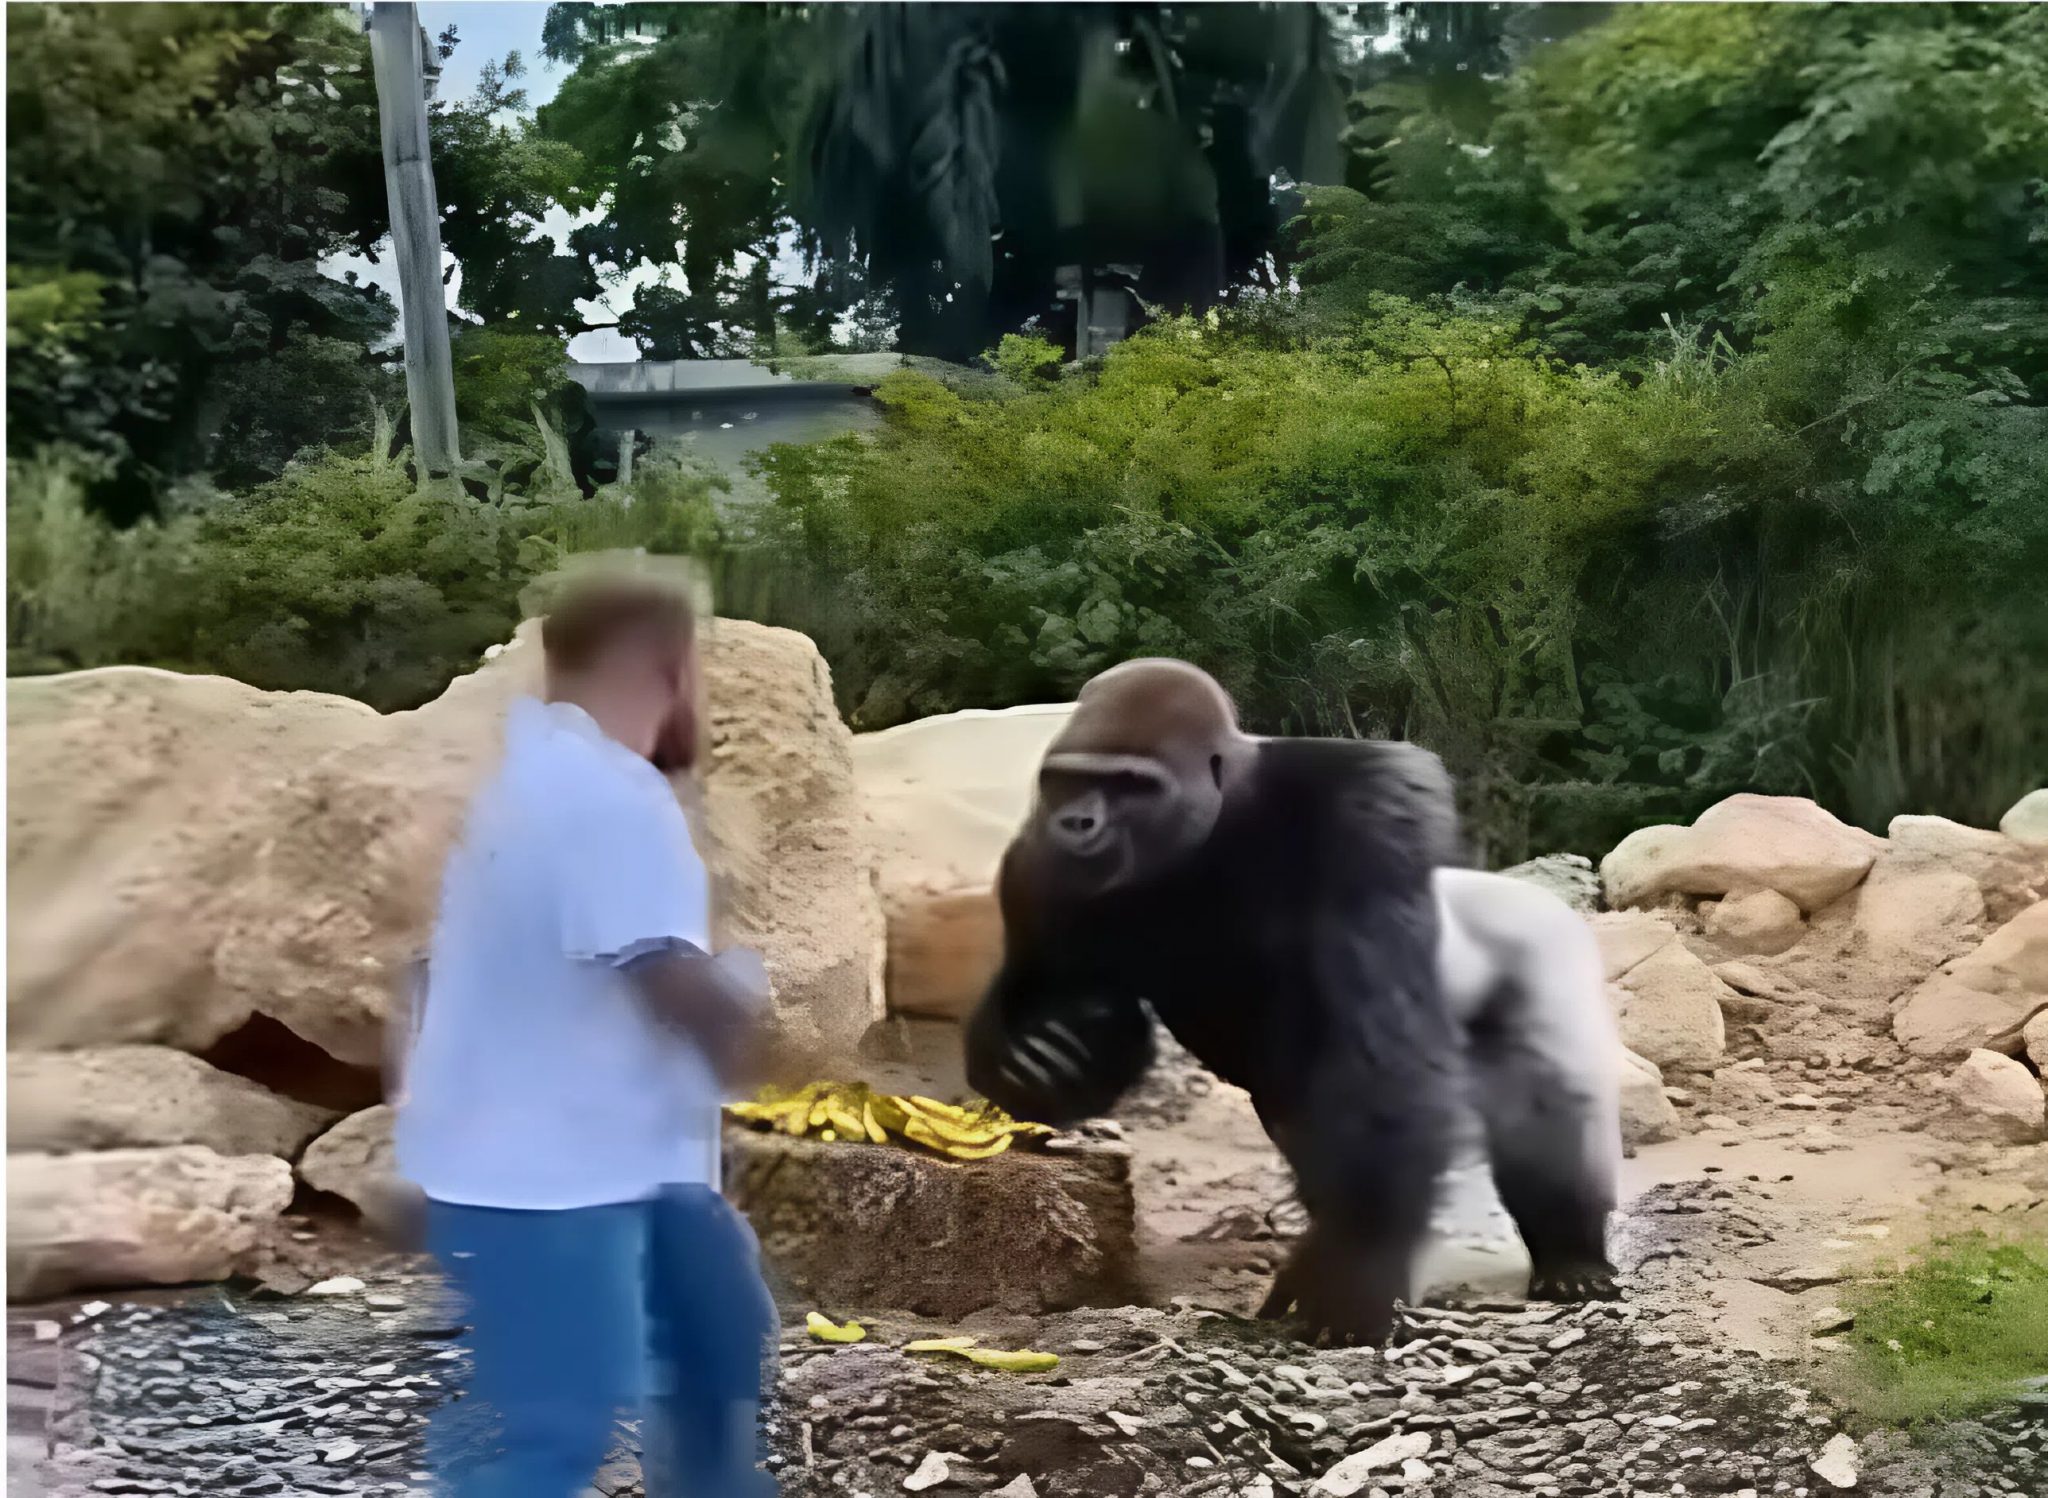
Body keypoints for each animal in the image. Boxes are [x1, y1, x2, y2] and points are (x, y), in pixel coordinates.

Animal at [964, 658, 1622, 1345]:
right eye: (1067, 781)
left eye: (1131, 785)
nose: (1076, 823)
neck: (1222, 820)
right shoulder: (1033, 863)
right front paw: (1031, 1057)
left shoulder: (1370, 804)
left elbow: (1385, 1071)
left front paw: (1356, 1271)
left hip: (1540, 938)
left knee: (1539, 1097)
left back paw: (1570, 1253)